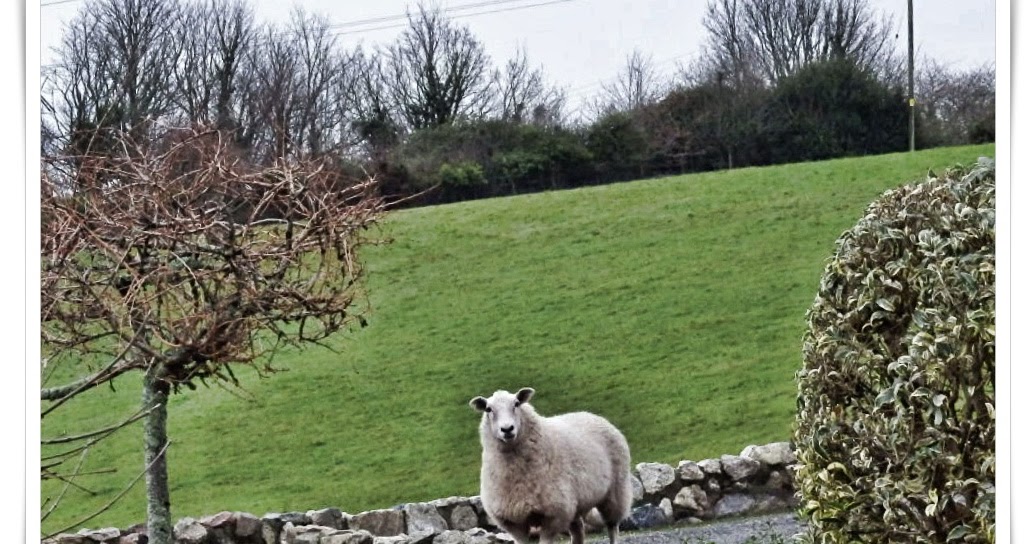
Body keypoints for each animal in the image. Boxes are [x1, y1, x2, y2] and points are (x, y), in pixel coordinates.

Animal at [469, 387, 632, 544]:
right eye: (488, 409)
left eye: (516, 404)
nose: (507, 429)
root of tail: (591, 414)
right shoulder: (513, 521)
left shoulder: (554, 514)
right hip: (574, 505)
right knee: (578, 531)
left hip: (615, 492)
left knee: (612, 526)